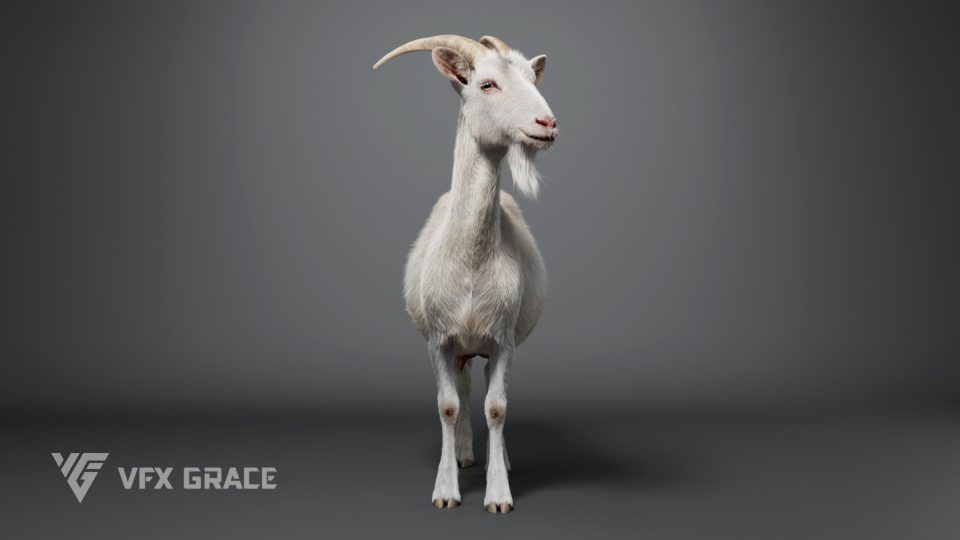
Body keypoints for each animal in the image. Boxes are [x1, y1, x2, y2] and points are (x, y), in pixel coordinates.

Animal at [375, 34, 557, 513]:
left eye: (533, 79)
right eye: (486, 84)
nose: (547, 123)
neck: (472, 263)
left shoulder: (503, 339)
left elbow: (497, 408)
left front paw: (498, 494)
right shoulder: (439, 340)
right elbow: (448, 405)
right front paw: (445, 490)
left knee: (488, 390)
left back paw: (497, 459)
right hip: (459, 346)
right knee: (464, 387)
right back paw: (463, 454)